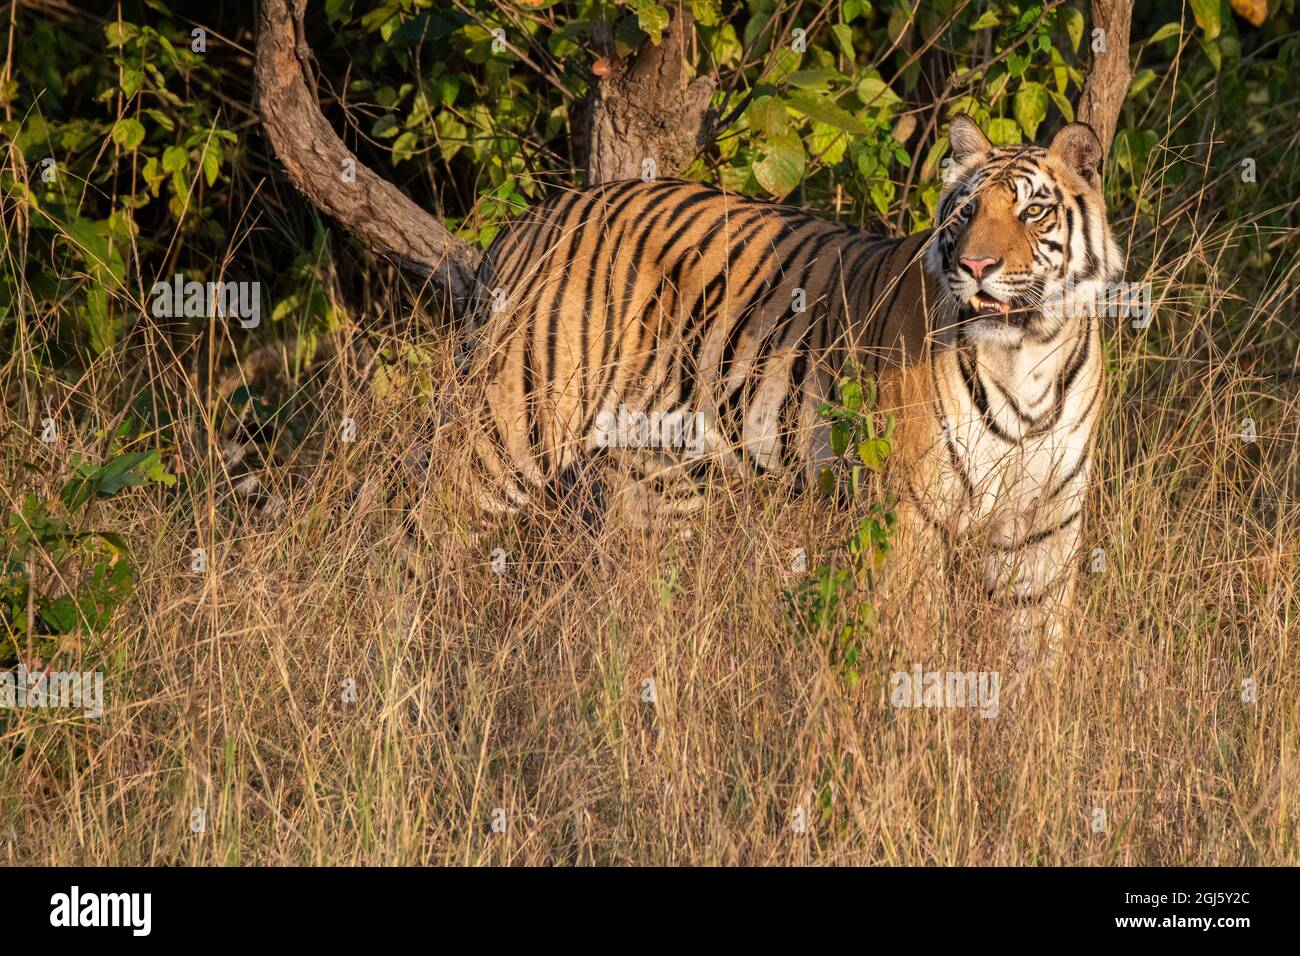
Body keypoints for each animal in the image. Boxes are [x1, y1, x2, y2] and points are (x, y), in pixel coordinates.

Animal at [456, 114, 1119, 654]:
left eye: (1033, 211)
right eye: (966, 213)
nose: (976, 267)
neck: (1026, 355)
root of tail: (530, 217)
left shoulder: (1046, 524)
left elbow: (1034, 650)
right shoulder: (908, 511)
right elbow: (911, 642)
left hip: (658, 480)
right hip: (507, 437)